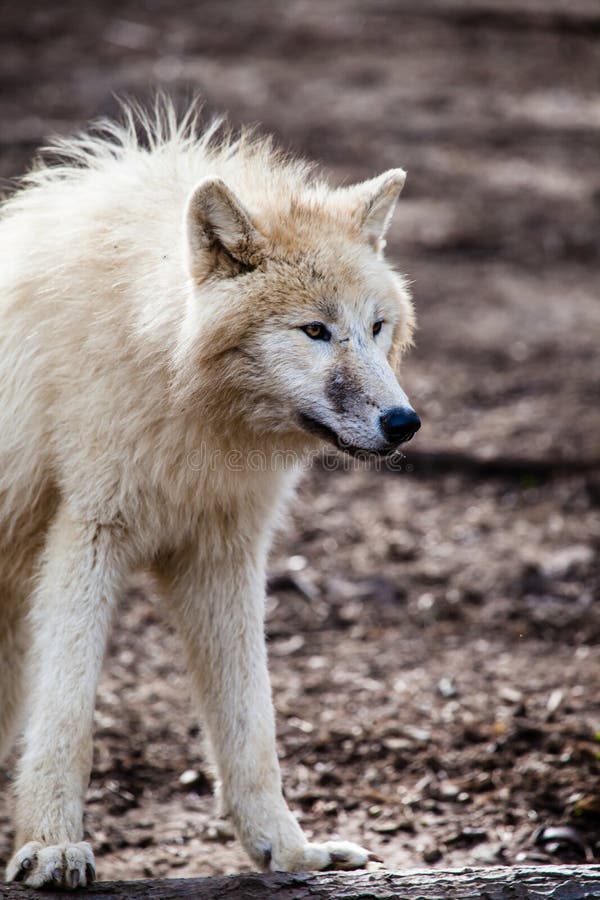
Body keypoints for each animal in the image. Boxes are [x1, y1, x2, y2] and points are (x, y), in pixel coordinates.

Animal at [0, 100, 419, 888]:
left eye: (376, 328)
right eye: (315, 330)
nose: (404, 423)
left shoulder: (223, 555)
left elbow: (253, 726)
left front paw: (289, 851)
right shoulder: (86, 535)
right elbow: (67, 717)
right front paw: (51, 846)